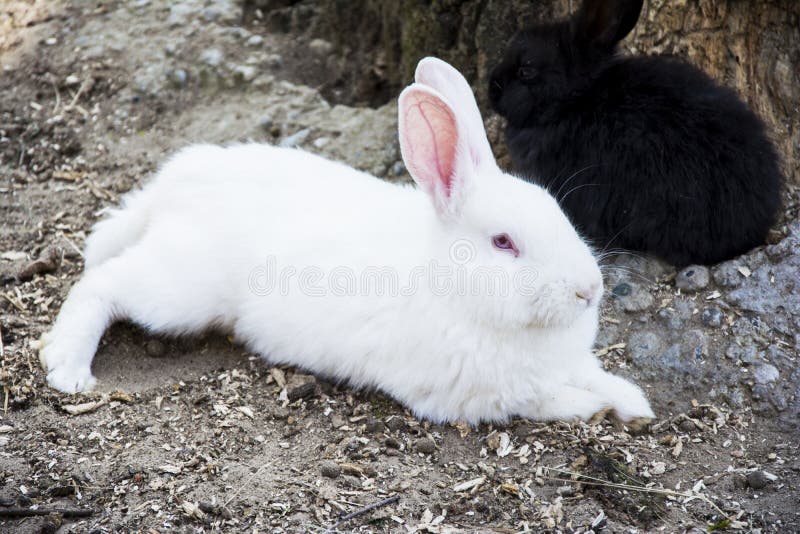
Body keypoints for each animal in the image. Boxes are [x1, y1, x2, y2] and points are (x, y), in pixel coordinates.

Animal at [37, 57, 654, 425]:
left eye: (558, 213)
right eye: (504, 243)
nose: (589, 291)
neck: (451, 283)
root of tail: (176, 183)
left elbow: (593, 374)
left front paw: (634, 402)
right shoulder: (484, 395)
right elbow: (555, 399)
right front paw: (601, 408)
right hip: (178, 291)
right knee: (101, 284)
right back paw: (67, 366)